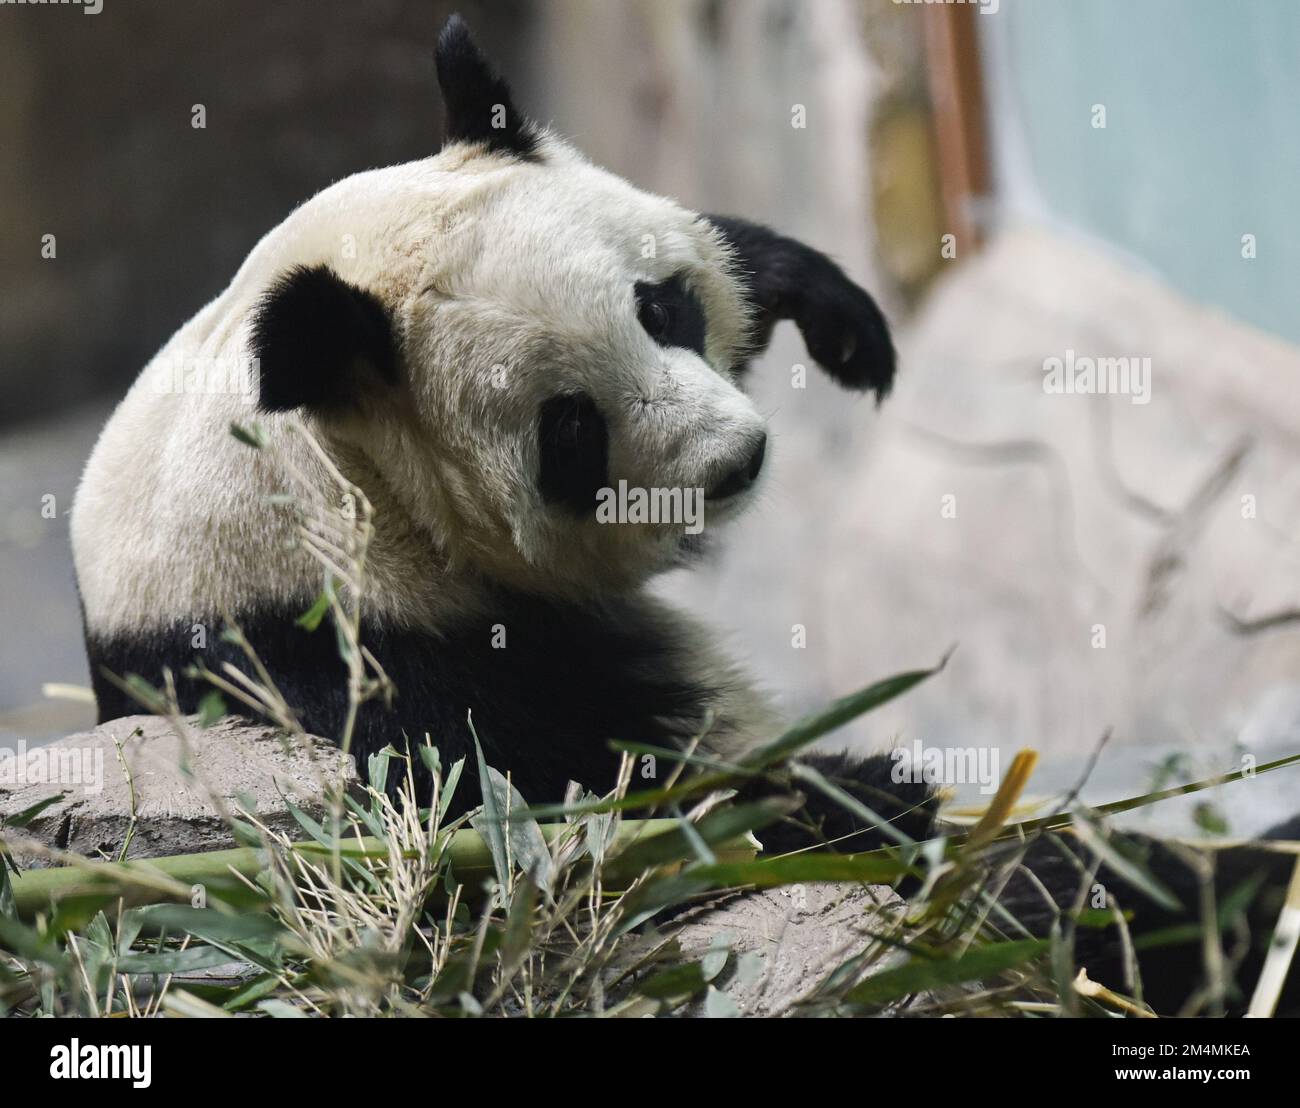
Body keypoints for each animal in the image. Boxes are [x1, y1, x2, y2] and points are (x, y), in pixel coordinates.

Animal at [71, 15, 1296, 1015]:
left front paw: (828, 311)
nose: (736, 460)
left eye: (660, 309)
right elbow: (604, 827)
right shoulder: (363, 664)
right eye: (568, 430)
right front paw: (876, 796)